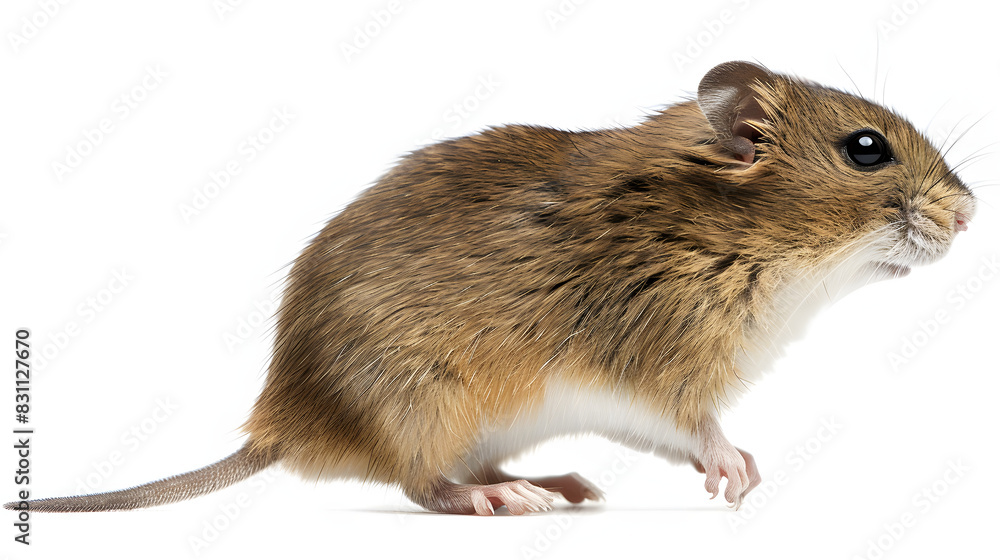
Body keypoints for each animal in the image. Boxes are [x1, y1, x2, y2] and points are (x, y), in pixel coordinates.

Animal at [6, 61, 975, 515]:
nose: (970, 214)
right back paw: (495, 498)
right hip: (429, 403)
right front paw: (737, 472)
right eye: (866, 148)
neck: (738, 235)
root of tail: (280, 432)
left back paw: (559, 482)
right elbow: (697, 429)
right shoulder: (655, 368)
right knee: (419, 484)